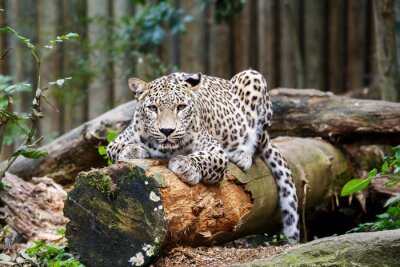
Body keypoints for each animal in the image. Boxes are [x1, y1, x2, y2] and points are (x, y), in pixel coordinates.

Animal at [108, 69, 298, 241]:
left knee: (257, 139)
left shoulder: (216, 151)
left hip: (253, 78)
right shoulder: (116, 141)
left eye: (181, 107)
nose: (167, 131)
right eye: (153, 108)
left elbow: (206, 158)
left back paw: (242, 155)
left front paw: (185, 165)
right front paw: (133, 150)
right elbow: (115, 149)